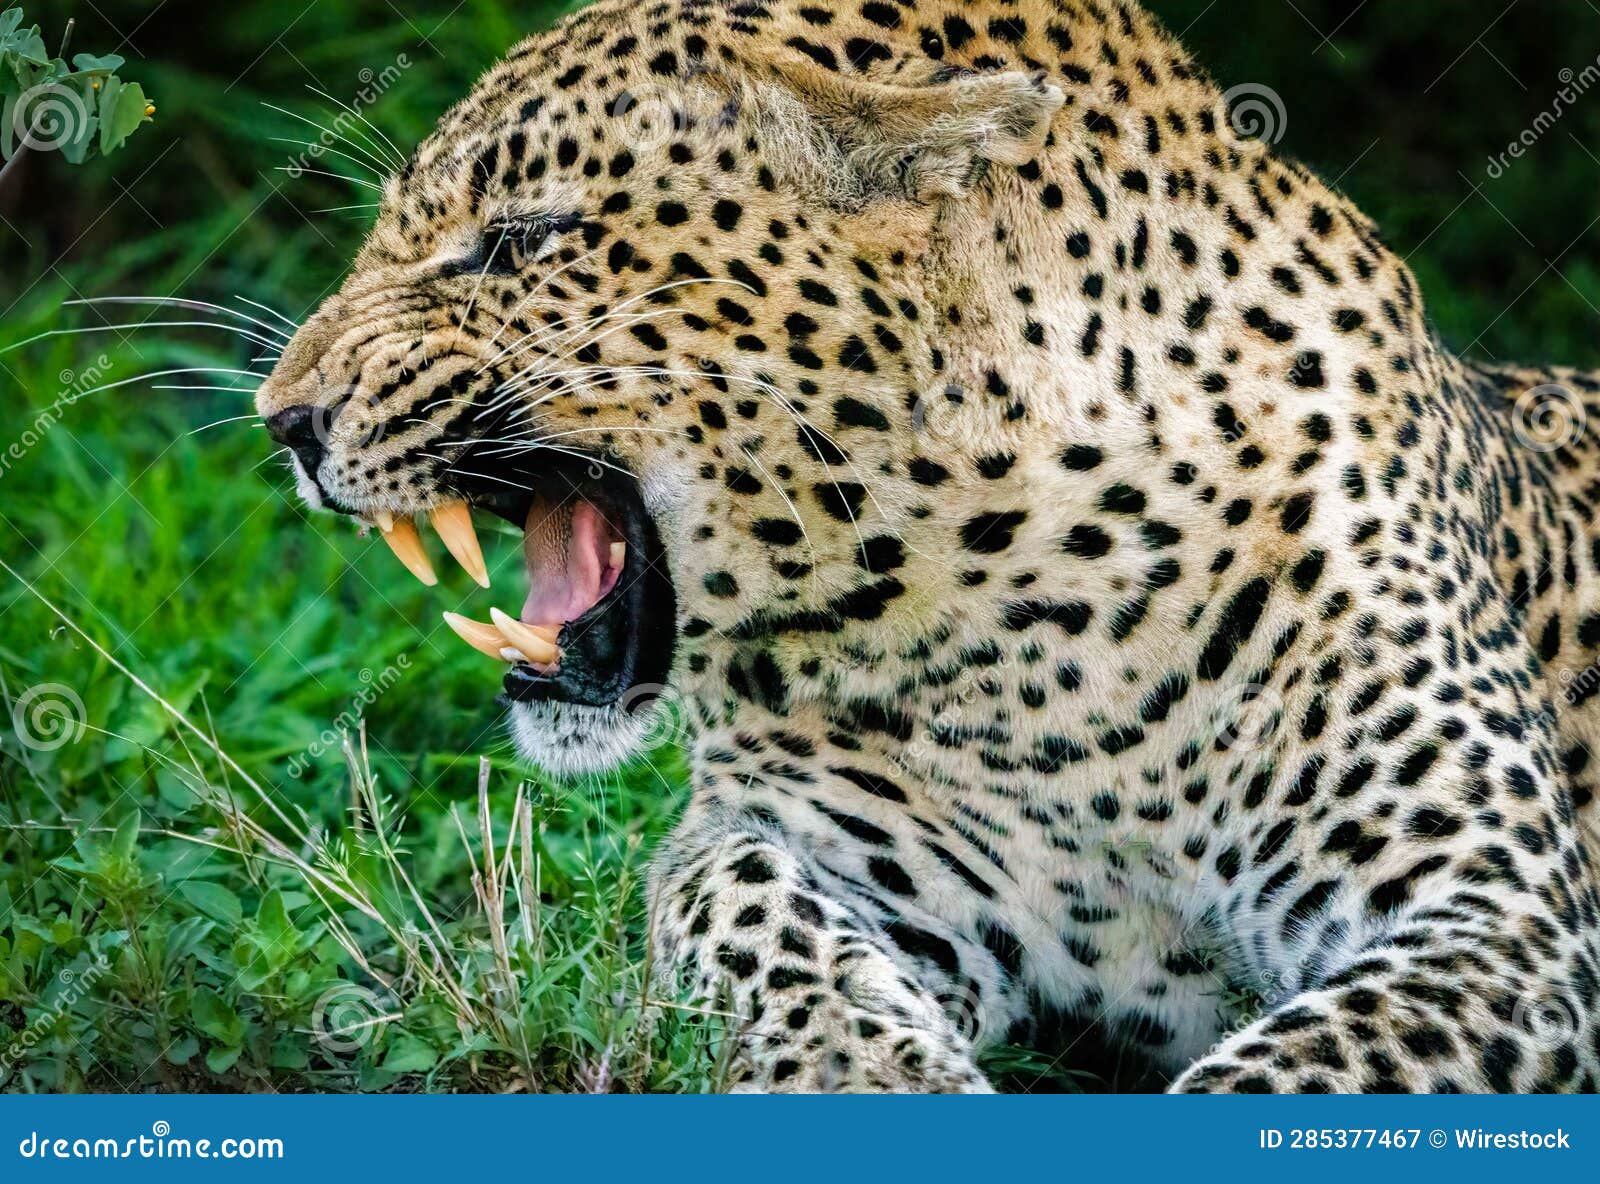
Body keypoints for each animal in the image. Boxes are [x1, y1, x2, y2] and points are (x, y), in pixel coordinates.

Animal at [254, 0, 1600, 1092]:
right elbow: (749, 912)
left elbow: (1293, 1066)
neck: (1034, 631)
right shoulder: (792, 839)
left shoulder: (1498, 911)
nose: (282, 419)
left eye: (521, 242)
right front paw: (866, 1073)